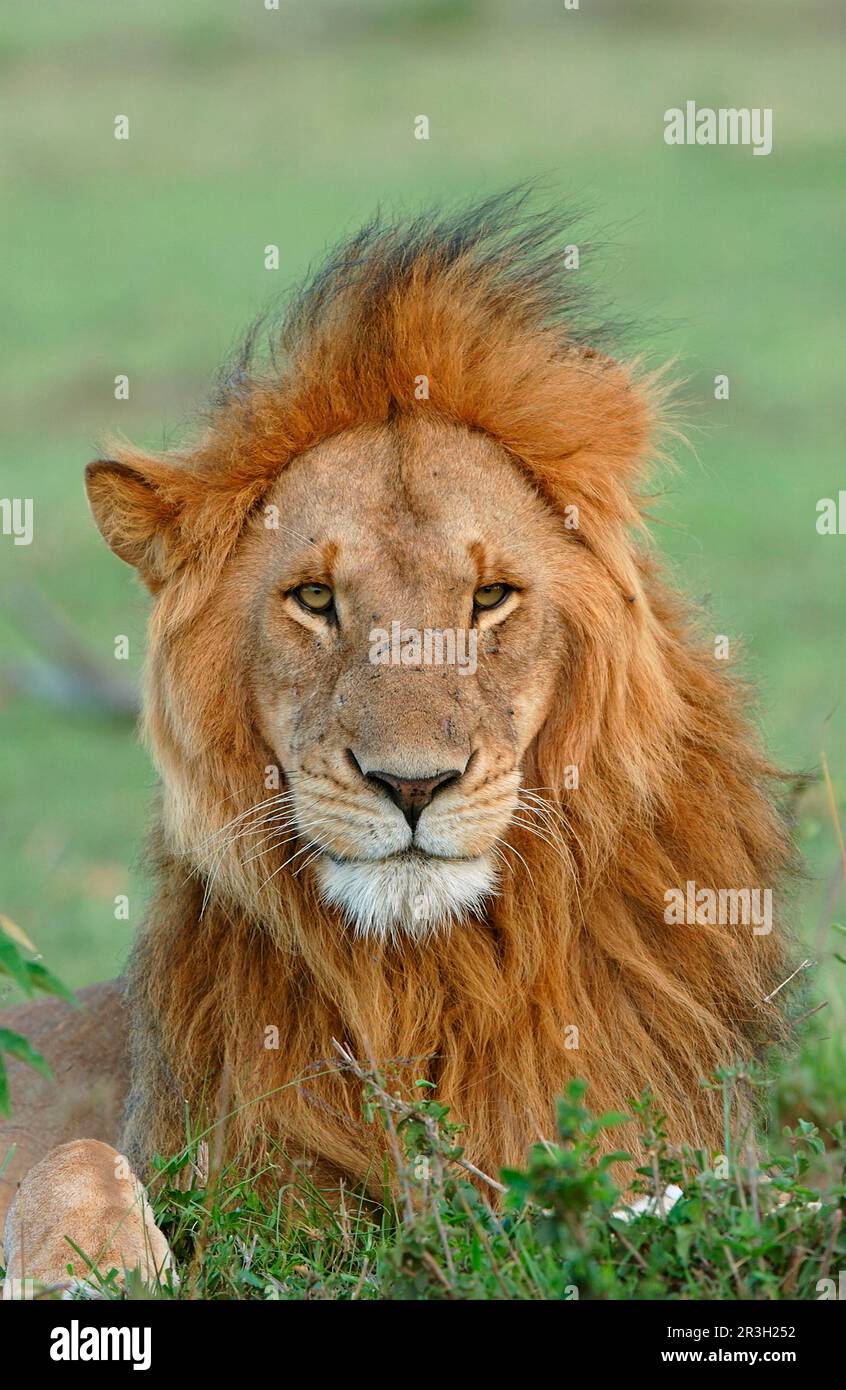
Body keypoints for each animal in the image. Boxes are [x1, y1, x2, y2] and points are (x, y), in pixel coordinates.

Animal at [0, 194, 794, 1292]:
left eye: (490, 595)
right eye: (315, 599)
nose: (411, 786)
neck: (422, 983)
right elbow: (82, 1153)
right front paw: (88, 1259)